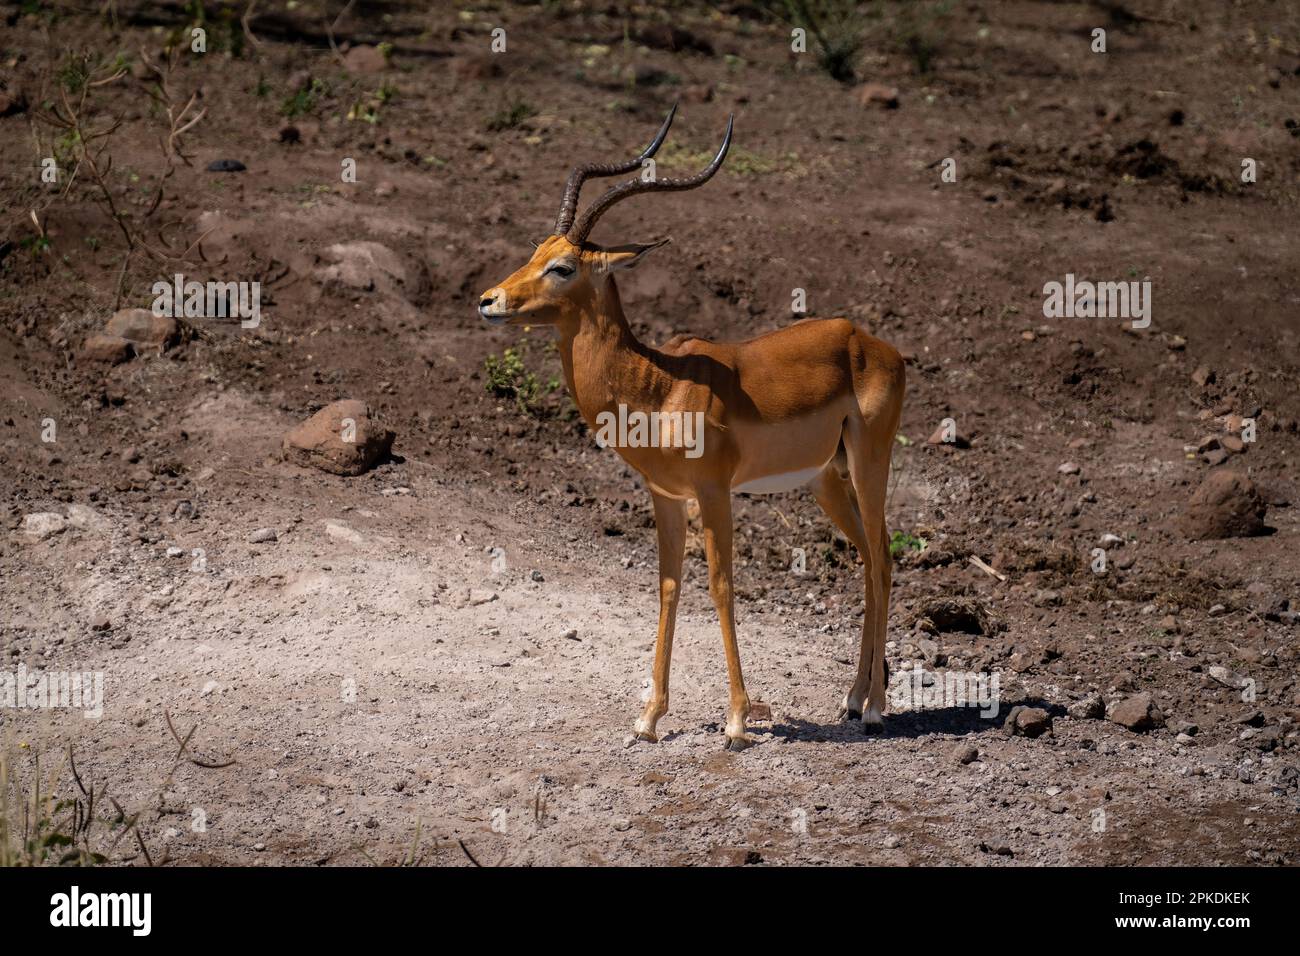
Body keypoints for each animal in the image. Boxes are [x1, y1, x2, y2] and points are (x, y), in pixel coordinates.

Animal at [478, 107, 906, 750]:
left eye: (563, 266)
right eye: (537, 250)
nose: (489, 300)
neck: (658, 388)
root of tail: (872, 342)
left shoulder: (713, 491)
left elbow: (722, 585)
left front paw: (736, 721)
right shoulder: (665, 495)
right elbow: (668, 584)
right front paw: (649, 717)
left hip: (868, 461)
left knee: (881, 558)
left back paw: (877, 707)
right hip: (826, 479)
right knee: (867, 558)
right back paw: (854, 699)